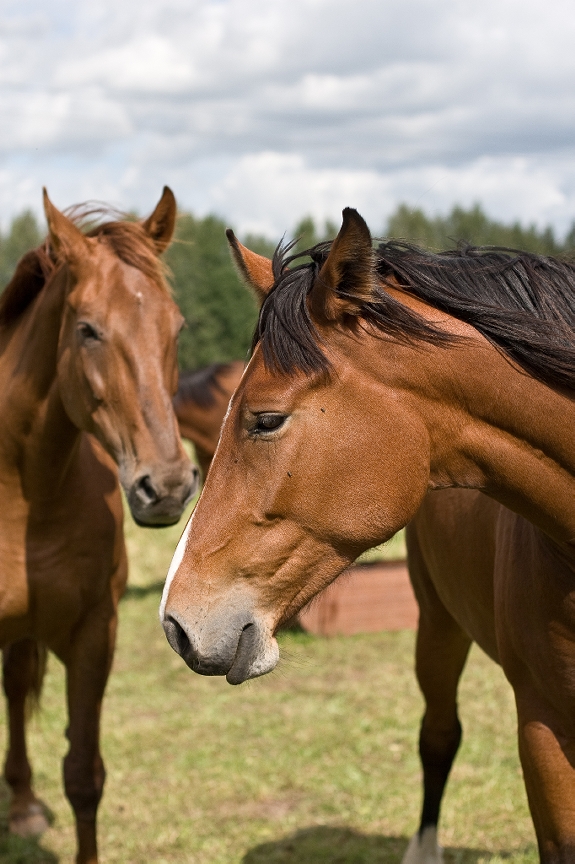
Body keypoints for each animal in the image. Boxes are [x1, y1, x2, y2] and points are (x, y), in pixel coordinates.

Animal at [0, 187, 197, 864]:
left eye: (175, 326)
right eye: (86, 330)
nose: (167, 486)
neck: (25, 493)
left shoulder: (92, 636)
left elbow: (84, 776)